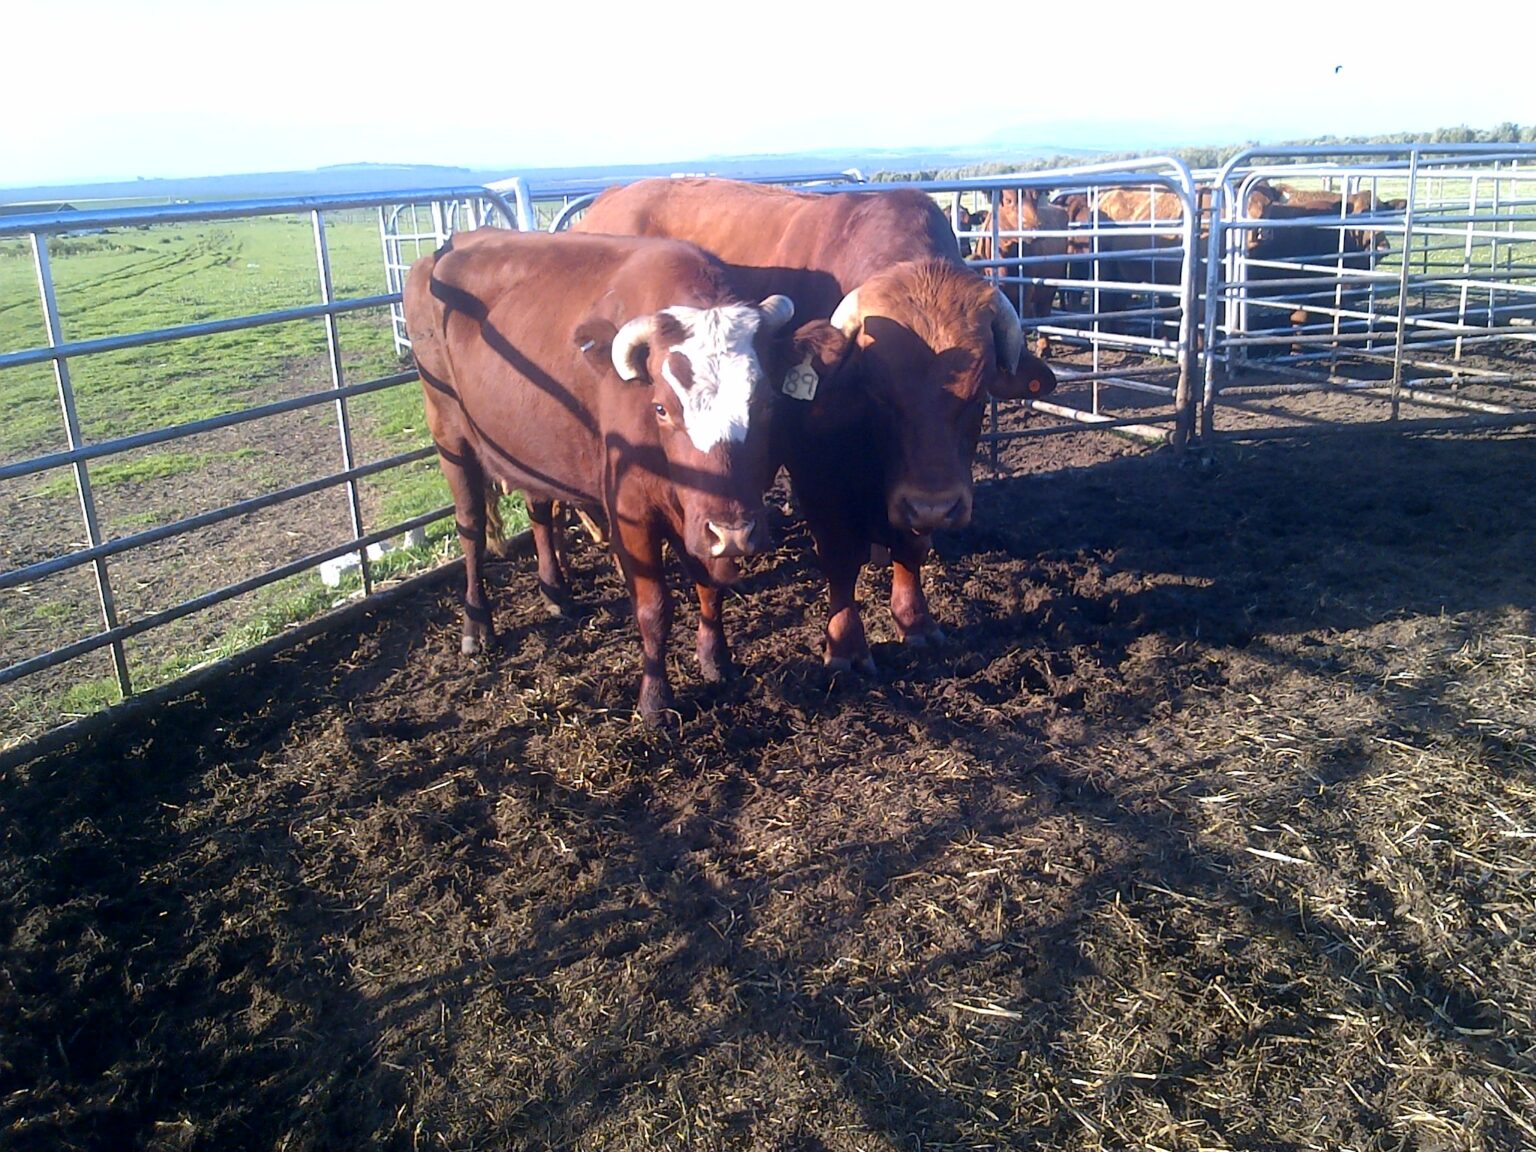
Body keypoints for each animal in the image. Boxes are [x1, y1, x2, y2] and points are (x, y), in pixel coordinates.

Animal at [403, 228, 840, 722]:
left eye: (766, 403)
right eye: (661, 409)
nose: (734, 533)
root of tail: (447, 248)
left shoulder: (702, 517)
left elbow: (710, 584)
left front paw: (716, 659)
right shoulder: (632, 512)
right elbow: (653, 607)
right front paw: (654, 702)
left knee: (539, 510)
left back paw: (555, 593)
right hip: (449, 435)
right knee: (471, 527)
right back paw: (477, 624)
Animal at [573, 177, 1057, 676]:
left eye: (979, 392)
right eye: (878, 391)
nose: (935, 506)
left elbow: (911, 547)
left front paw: (915, 621)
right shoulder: (817, 475)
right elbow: (840, 559)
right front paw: (845, 645)